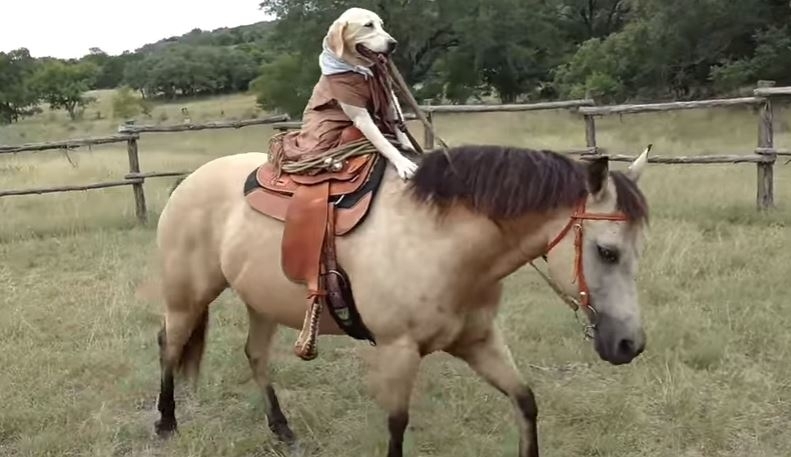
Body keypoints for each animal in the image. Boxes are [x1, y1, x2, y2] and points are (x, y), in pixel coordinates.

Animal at [151, 143, 651, 457]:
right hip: (186, 296)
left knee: (255, 354)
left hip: (261, 301)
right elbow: (396, 428)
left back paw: (283, 430)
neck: (442, 243)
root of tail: (188, 181)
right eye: (607, 251)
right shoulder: (398, 350)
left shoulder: (480, 341)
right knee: (169, 345)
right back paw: (166, 424)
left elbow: (525, 402)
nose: (631, 345)